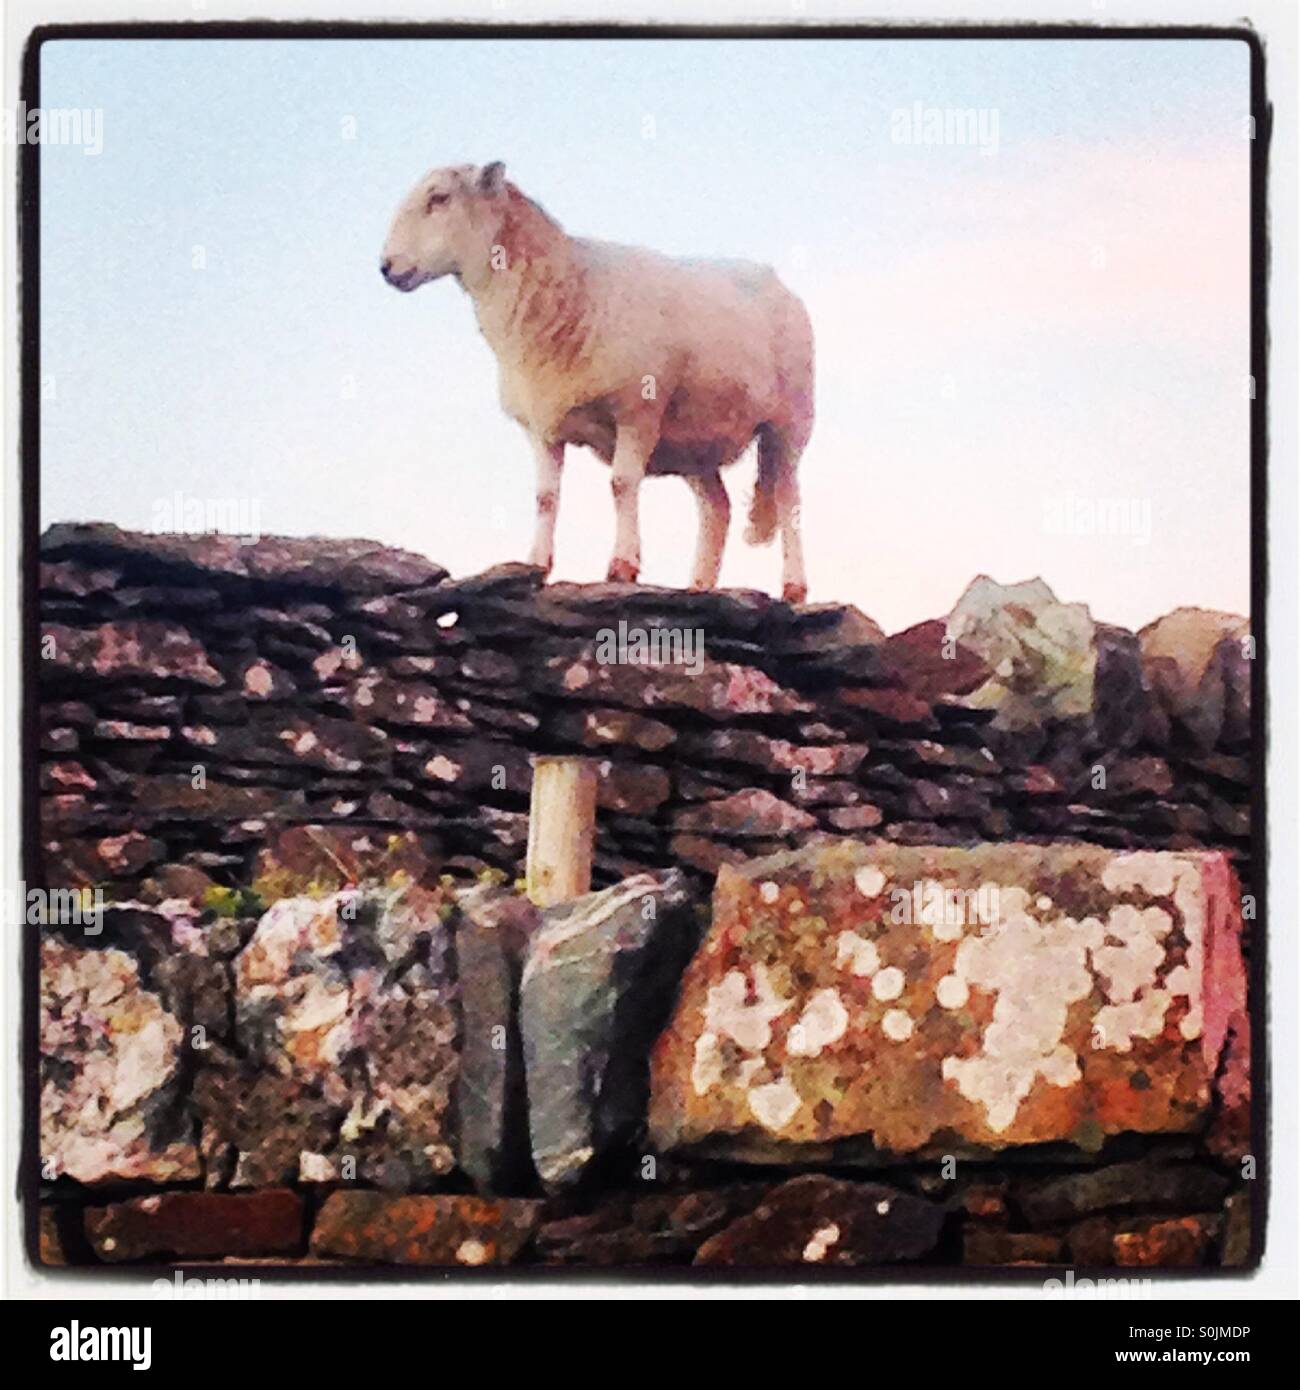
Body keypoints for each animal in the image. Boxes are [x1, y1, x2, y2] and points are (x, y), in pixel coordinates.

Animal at [381, 161, 815, 601]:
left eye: (439, 198)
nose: (386, 267)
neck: (570, 284)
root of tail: (774, 279)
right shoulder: (542, 426)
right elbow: (545, 498)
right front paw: (536, 564)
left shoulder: (637, 410)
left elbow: (622, 484)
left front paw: (622, 566)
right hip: (694, 441)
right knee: (717, 508)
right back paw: (699, 586)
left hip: (790, 422)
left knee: (788, 499)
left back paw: (793, 587)